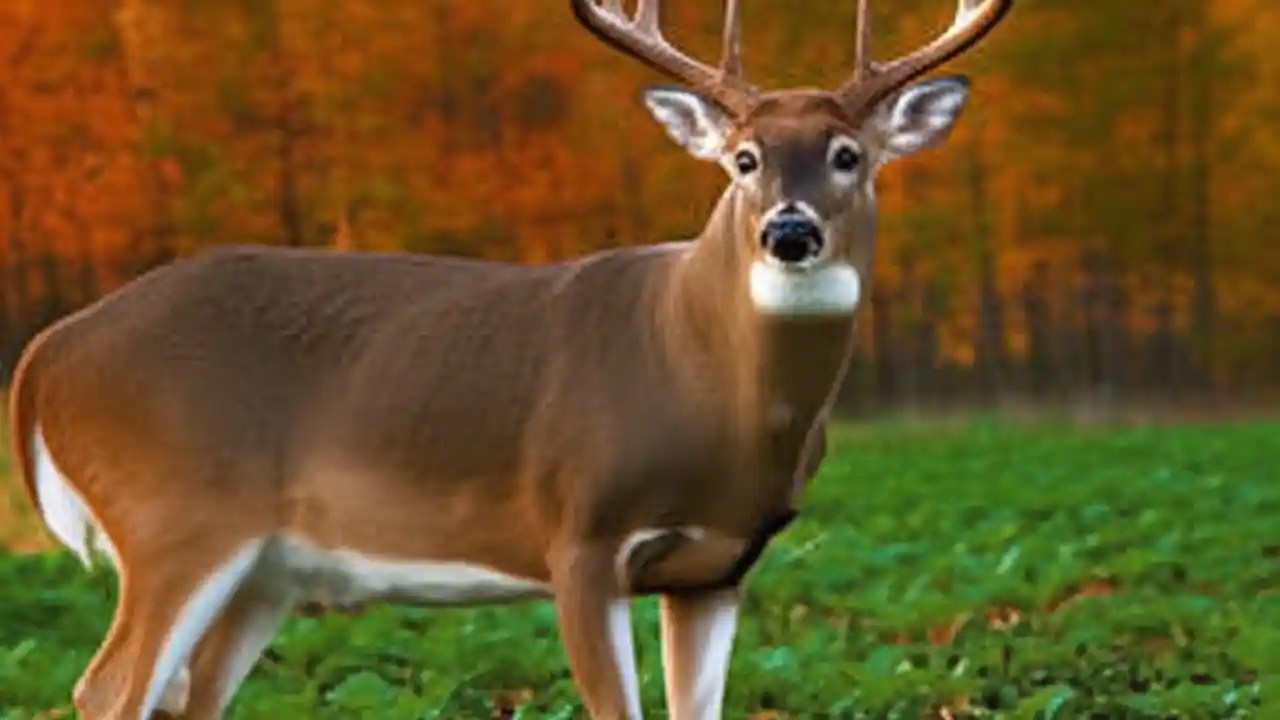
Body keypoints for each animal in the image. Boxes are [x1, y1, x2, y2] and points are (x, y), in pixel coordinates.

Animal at [7, 1, 1011, 717]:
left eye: (848, 154)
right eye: (742, 159)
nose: (789, 232)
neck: (709, 386)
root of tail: (51, 348)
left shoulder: (717, 568)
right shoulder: (580, 531)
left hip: (263, 570)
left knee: (188, 698)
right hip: (172, 516)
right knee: (106, 690)